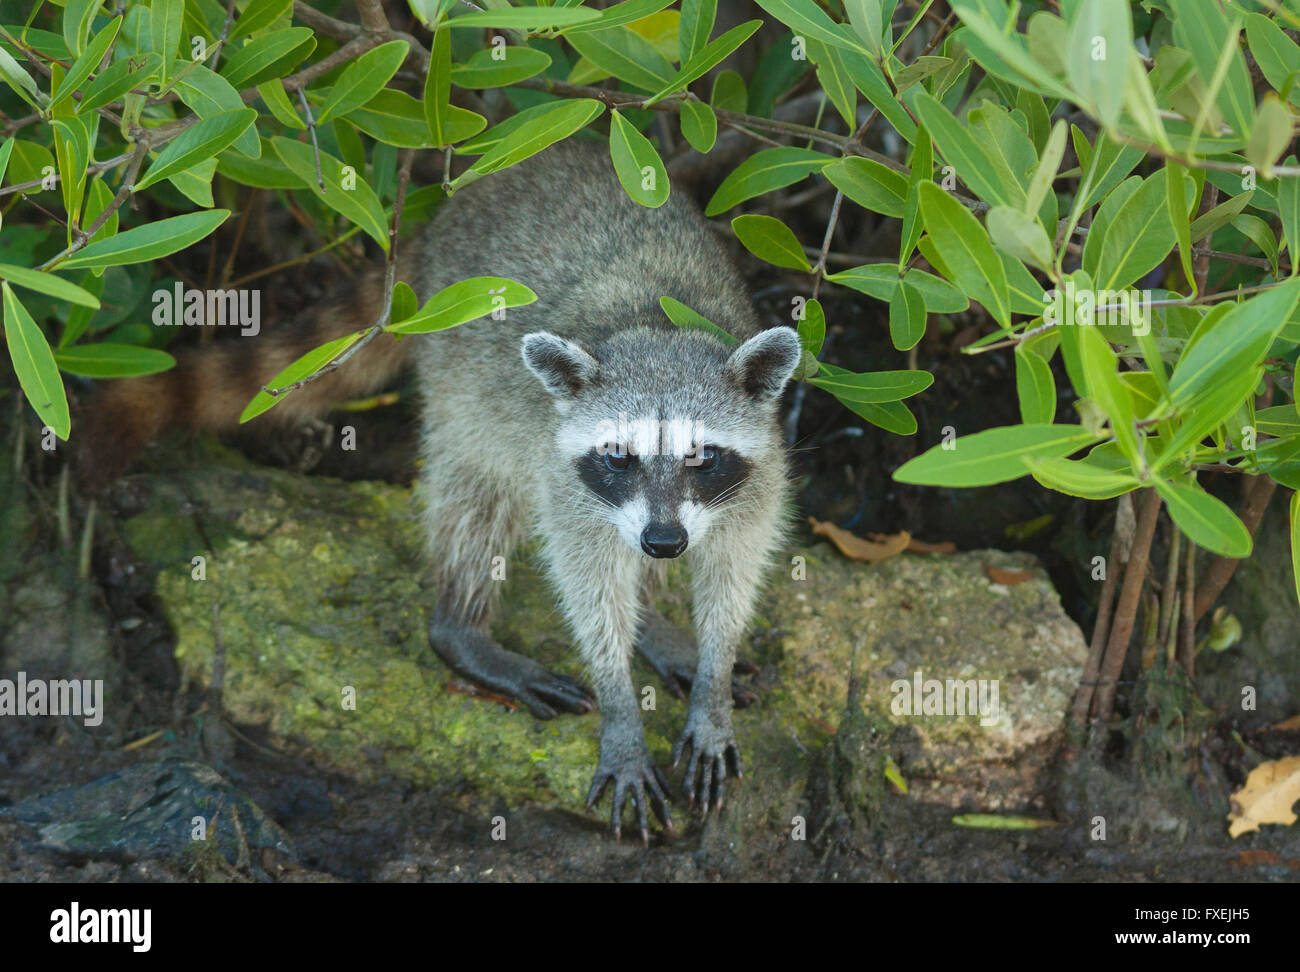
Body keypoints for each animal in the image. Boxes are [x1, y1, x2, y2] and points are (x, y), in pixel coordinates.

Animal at [82, 140, 802, 841]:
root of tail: (451, 211)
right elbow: (585, 581)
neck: (656, 328)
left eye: (702, 456)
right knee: (473, 501)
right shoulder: (567, 476)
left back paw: (649, 620)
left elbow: (734, 570)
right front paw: (621, 706)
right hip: (459, 381)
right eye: (619, 457)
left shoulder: (758, 476)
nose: (663, 542)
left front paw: (711, 681)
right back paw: (460, 626)